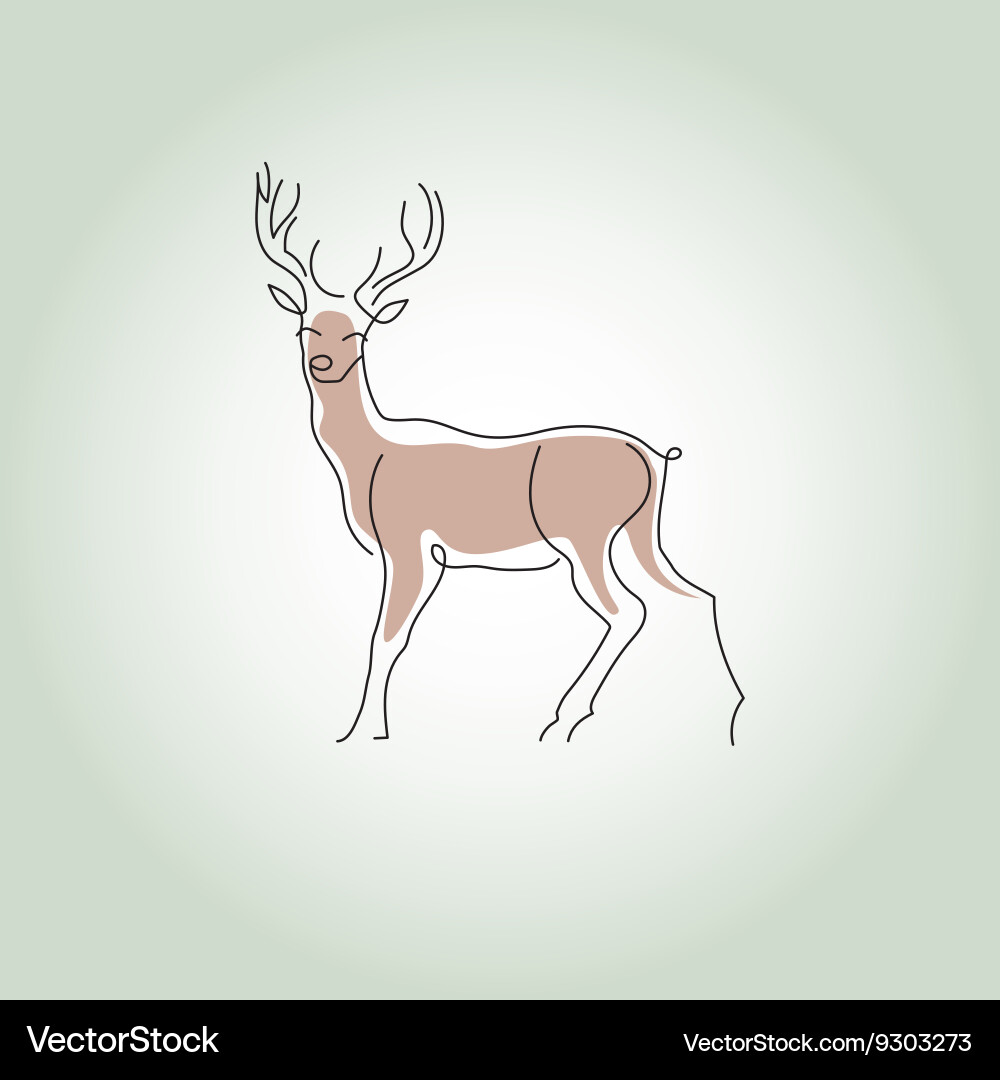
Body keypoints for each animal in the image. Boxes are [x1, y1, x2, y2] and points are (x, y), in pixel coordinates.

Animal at [254, 164, 744, 744]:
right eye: (305, 325)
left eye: (361, 332)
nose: (324, 362)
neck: (369, 457)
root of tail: (652, 454)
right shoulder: (431, 557)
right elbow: (394, 636)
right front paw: (368, 729)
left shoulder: (408, 544)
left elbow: (386, 637)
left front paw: (363, 732)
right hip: (640, 534)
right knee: (695, 595)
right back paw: (726, 716)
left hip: (585, 536)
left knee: (628, 610)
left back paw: (562, 720)